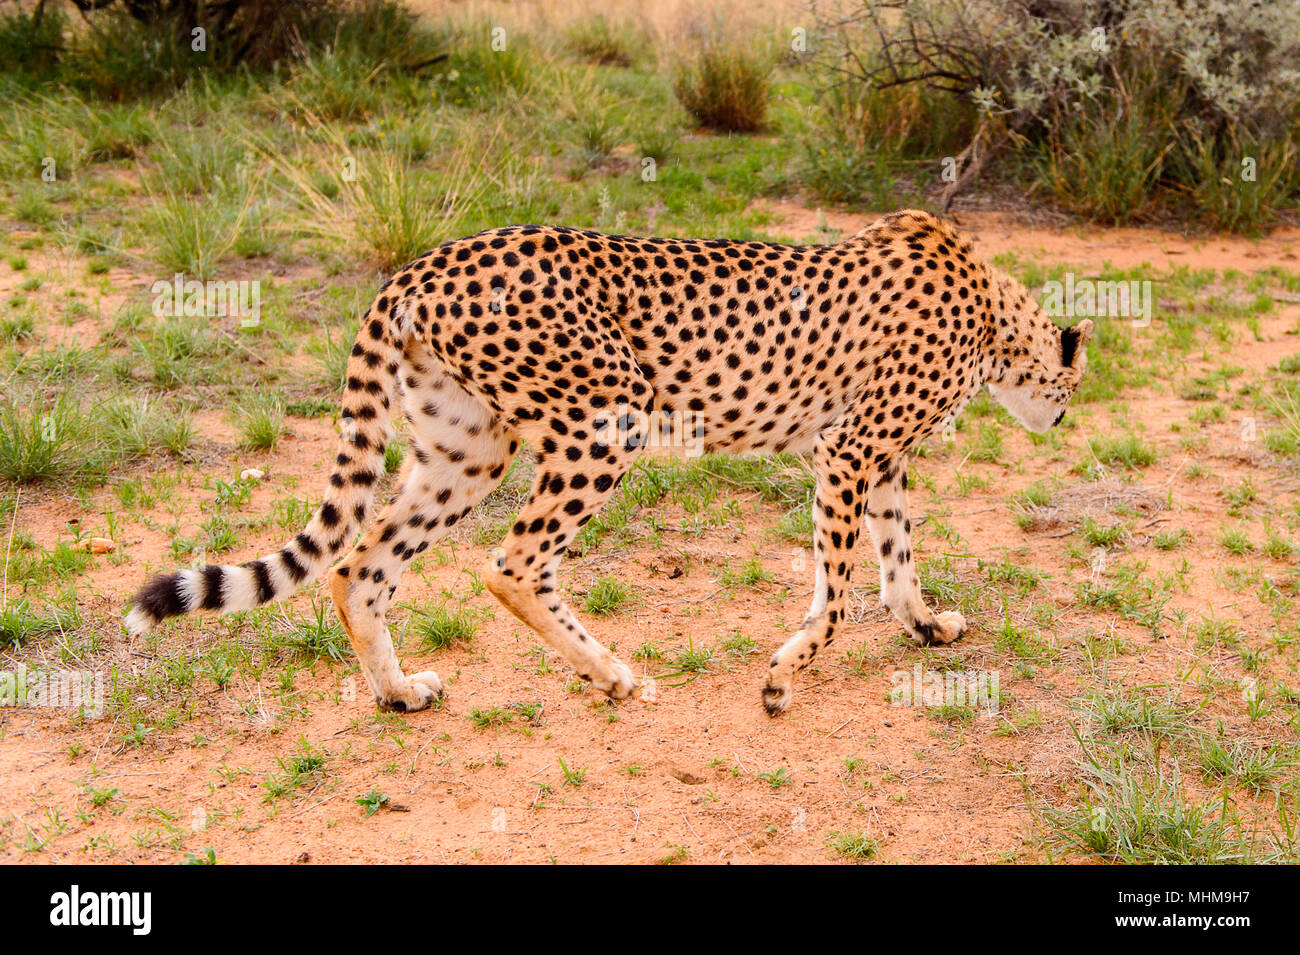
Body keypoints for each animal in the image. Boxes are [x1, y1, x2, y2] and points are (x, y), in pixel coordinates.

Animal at [125, 208, 1092, 716]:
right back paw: (611, 670)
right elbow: (842, 589)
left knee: (360, 564)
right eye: (1074, 388)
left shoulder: (879, 458)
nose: (1062, 417)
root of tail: (423, 264)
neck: (995, 317)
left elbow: (896, 564)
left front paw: (926, 625)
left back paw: (399, 692)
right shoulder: (848, 449)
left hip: (468, 448)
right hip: (607, 416)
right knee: (512, 563)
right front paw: (785, 674)